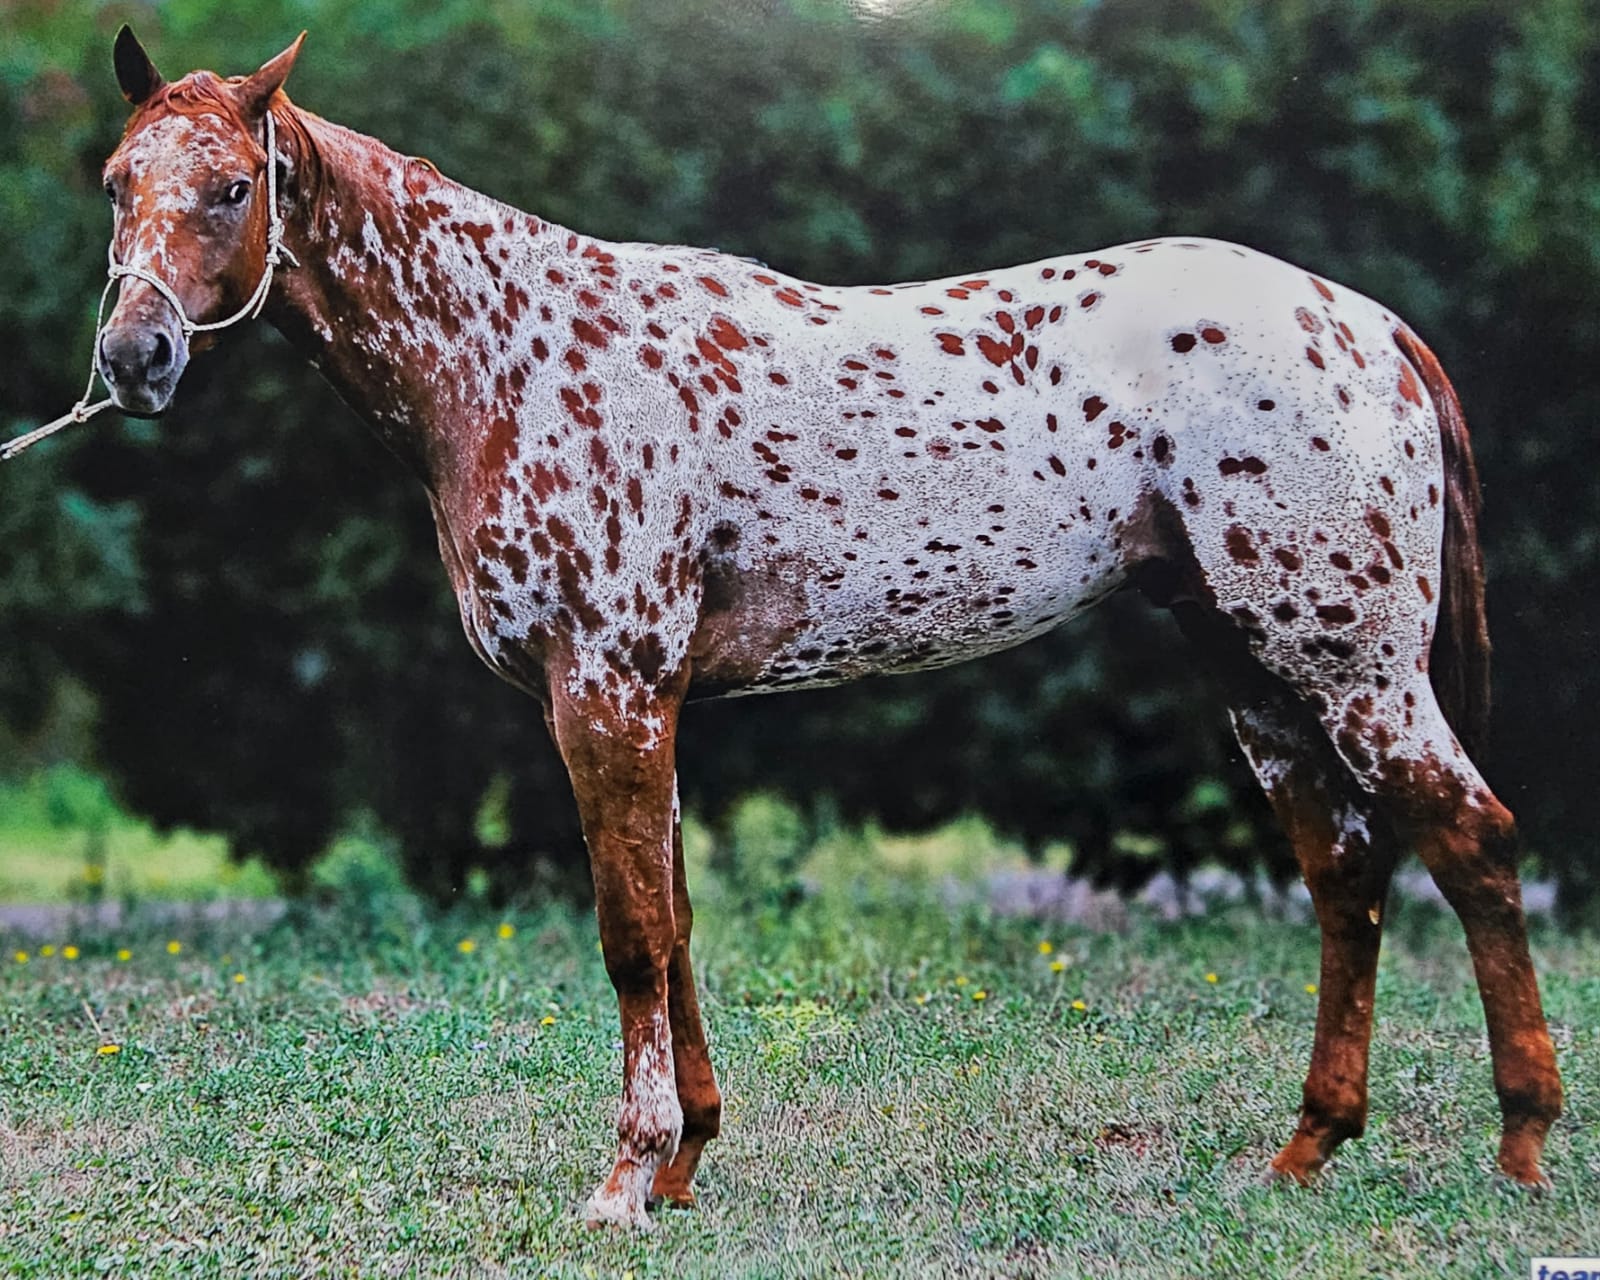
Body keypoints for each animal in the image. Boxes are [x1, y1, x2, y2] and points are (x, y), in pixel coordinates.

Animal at [71, 29, 1561, 1226]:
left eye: (233, 185)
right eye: (117, 182)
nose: (134, 359)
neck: (514, 355)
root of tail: (1365, 324)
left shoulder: (605, 689)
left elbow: (629, 934)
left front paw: (623, 1180)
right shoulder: (650, 701)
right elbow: (673, 925)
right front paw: (683, 1164)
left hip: (1350, 663)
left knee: (1472, 844)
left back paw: (1522, 1148)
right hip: (1259, 675)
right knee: (1347, 876)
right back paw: (1306, 1150)